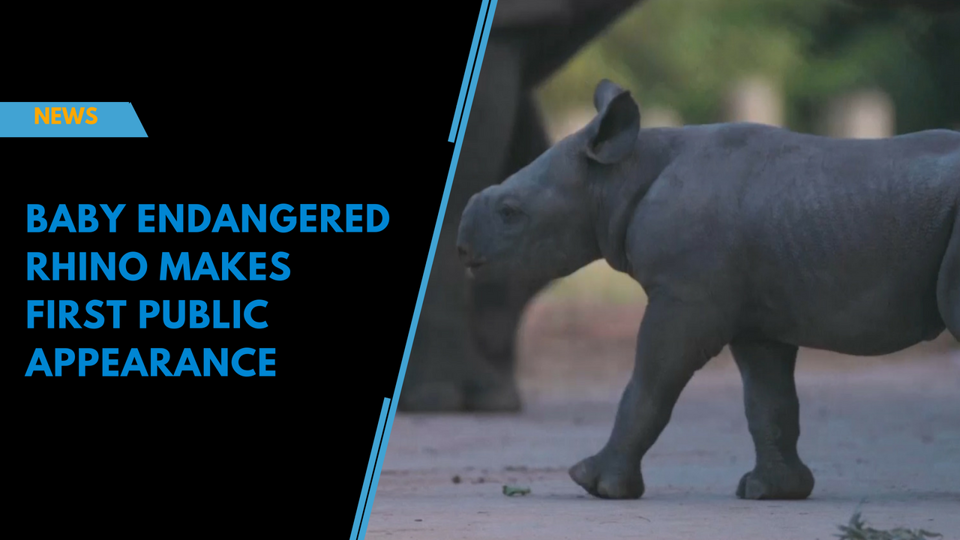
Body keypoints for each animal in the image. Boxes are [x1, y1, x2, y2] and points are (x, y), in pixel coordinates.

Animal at [455, 79, 960, 500]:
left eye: (510, 212)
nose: (462, 248)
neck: (619, 176)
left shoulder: (685, 298)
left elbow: (650, 384)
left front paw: (595, 485)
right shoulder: (754, 318)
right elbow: (768, 400)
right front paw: (769, 492)